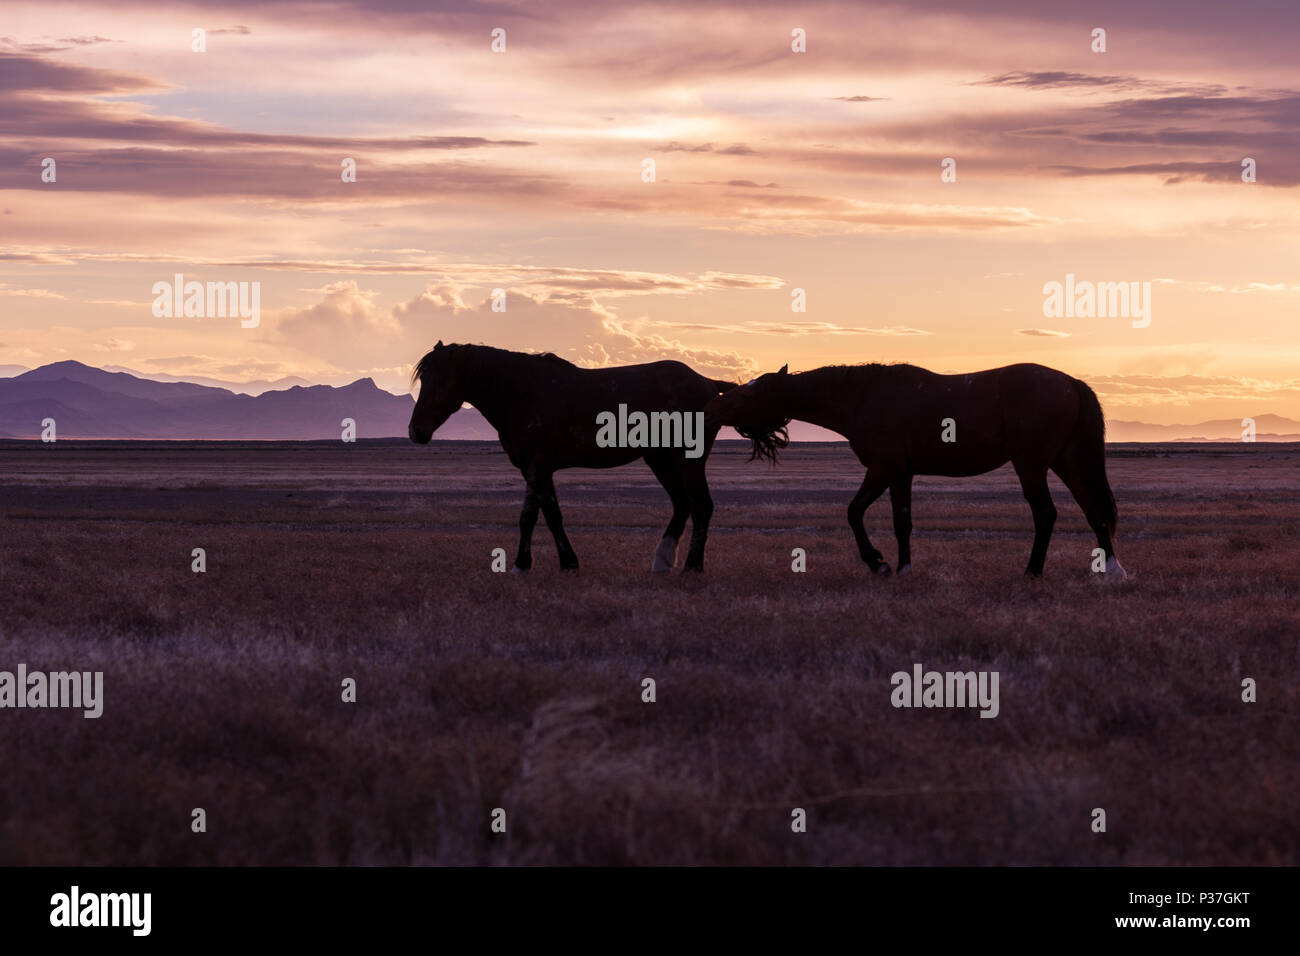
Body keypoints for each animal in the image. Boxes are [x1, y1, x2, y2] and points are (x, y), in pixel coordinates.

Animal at [409, 342, 736, 572]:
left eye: (440, 381)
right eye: (423, 379)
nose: (416, 431)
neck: (522, 392)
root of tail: (708, 383)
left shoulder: (539, 466)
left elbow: (536, 516)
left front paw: (531, 564)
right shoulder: (533, 469)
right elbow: (544, 515)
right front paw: (556, 563)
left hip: (688, 461)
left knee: (701, 505)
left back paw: (692, 566)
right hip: (661, 460)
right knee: (683, 505)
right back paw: (662, 562)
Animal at [704, 362, 1126, 578]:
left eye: (749, 393)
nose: (714, 406)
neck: (864, 396)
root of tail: (1070, 383)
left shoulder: (881, 469)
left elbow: (853, 512)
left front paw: (877, 562)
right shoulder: (900, 474)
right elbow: (901, 521)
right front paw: (903, 567)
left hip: (1032, 464)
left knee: (1046, 513)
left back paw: (1033, 570)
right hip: (1066, 460)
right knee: (1094, 510)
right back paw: (1112, 568)